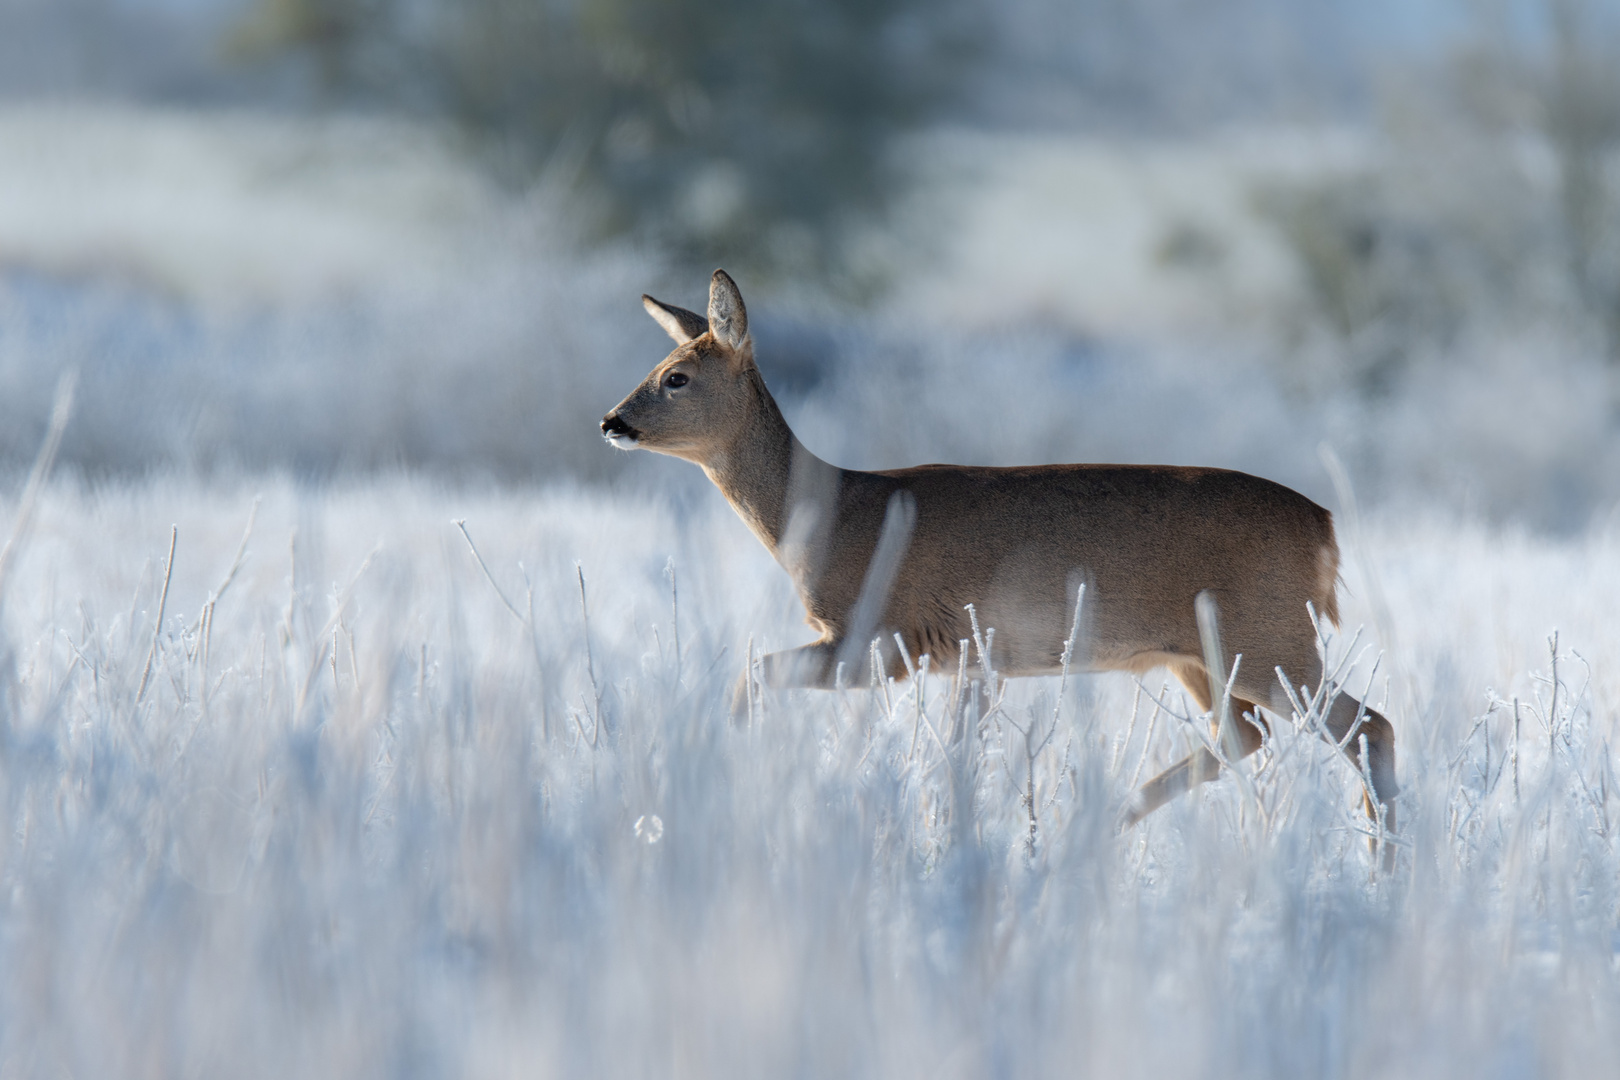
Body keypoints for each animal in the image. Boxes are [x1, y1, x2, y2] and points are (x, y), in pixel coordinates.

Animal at [602, 270, 1399, 841]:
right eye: (657, 364)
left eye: (675, 377)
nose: (612, 422)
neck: (836, 515)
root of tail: (1325, 528)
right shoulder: (971, 655)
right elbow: (957, 757)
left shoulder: (880, 639)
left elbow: (750, 676)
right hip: (1202, 653)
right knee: (1245, 735)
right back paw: (1101, 825)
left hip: (1270, 640)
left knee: (1368, 727)